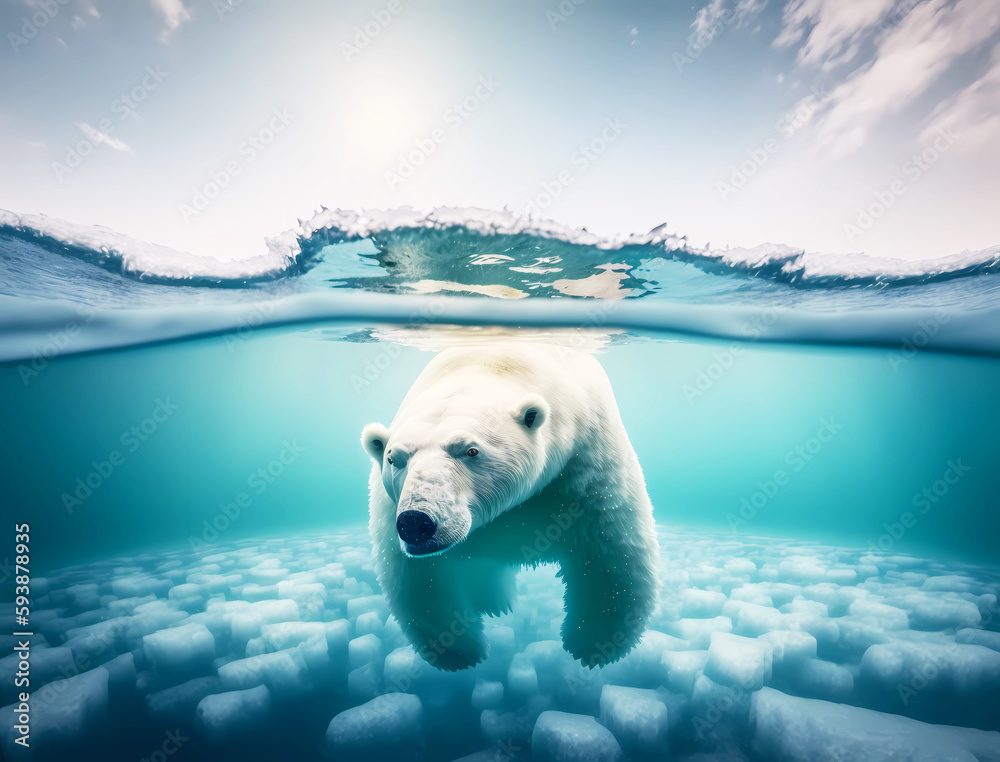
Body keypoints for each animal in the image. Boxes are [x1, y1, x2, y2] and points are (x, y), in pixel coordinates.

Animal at [361, 342, 659, 671]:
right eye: (393, 458)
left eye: (471, 450)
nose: (415, 522)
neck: (498, 360)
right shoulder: (391, 507)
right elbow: (419, 578)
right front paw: (461, 653)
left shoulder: (586, 458)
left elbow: (610, 552)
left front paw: (593, 644)